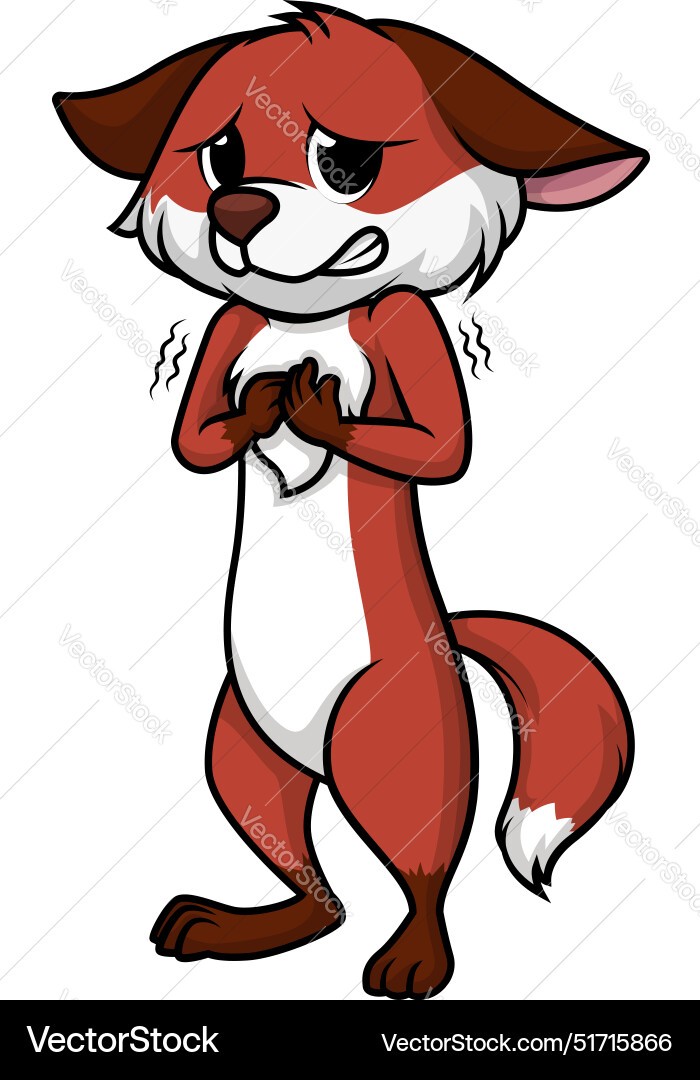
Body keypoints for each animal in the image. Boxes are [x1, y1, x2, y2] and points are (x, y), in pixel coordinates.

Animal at [54, 3, 647, 999]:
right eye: (219, 156)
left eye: (348, 162)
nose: (237, 209)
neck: (308, 317)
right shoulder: (230, 327)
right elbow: (195, 440)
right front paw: (263, 409)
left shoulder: (403, 321)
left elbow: (441, 448)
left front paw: (313, 411)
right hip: (240, 753)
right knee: (314, 884)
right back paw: (244, 927)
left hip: (389, 744)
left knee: (421, 869)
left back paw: (417, 958)